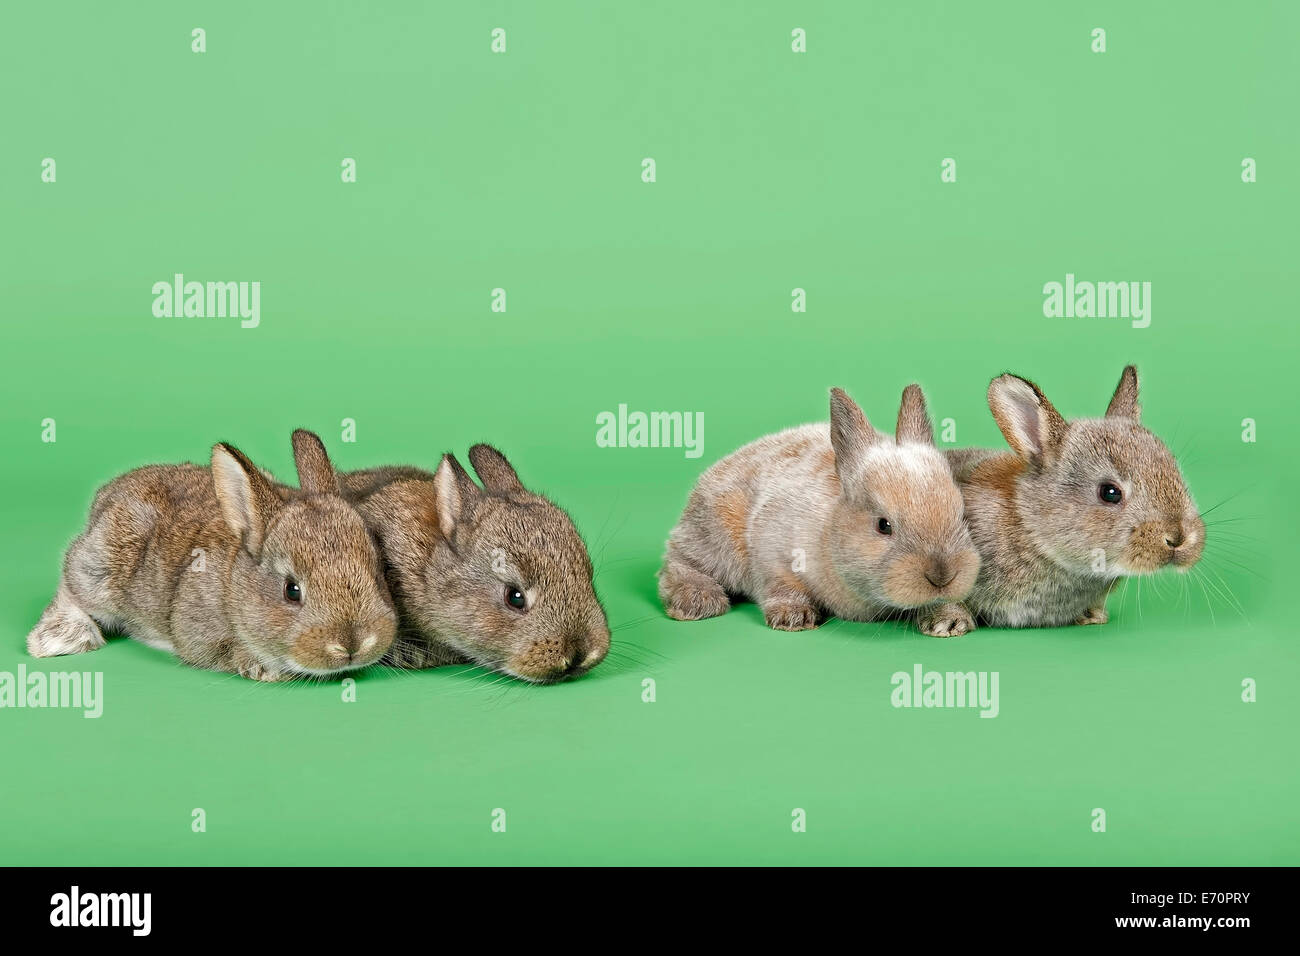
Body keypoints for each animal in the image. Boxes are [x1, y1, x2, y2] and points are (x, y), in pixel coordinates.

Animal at [26, 430, 398, 681]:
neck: (234, 586)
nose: (353, 646)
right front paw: (260, 667)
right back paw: (59, 639)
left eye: (378, 573)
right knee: (72, 583)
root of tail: (106, 495)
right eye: (291, 591)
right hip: (102, 568)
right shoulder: (198, 628)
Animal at [659, 385, 981, 635]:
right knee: (676, 564)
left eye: (961, 514)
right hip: (715, 533)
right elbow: (780, 584)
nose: (943, 577)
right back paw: (697, 601)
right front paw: (793, 617)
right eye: (883, 525)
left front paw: (949, 620)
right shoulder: (773, 550)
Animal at [937, 365, 1206, 633]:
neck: (1031, 528)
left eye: (1175, 472)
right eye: (1110, 492)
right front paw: (950, 623)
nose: (1179, 538)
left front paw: (1092, 616)